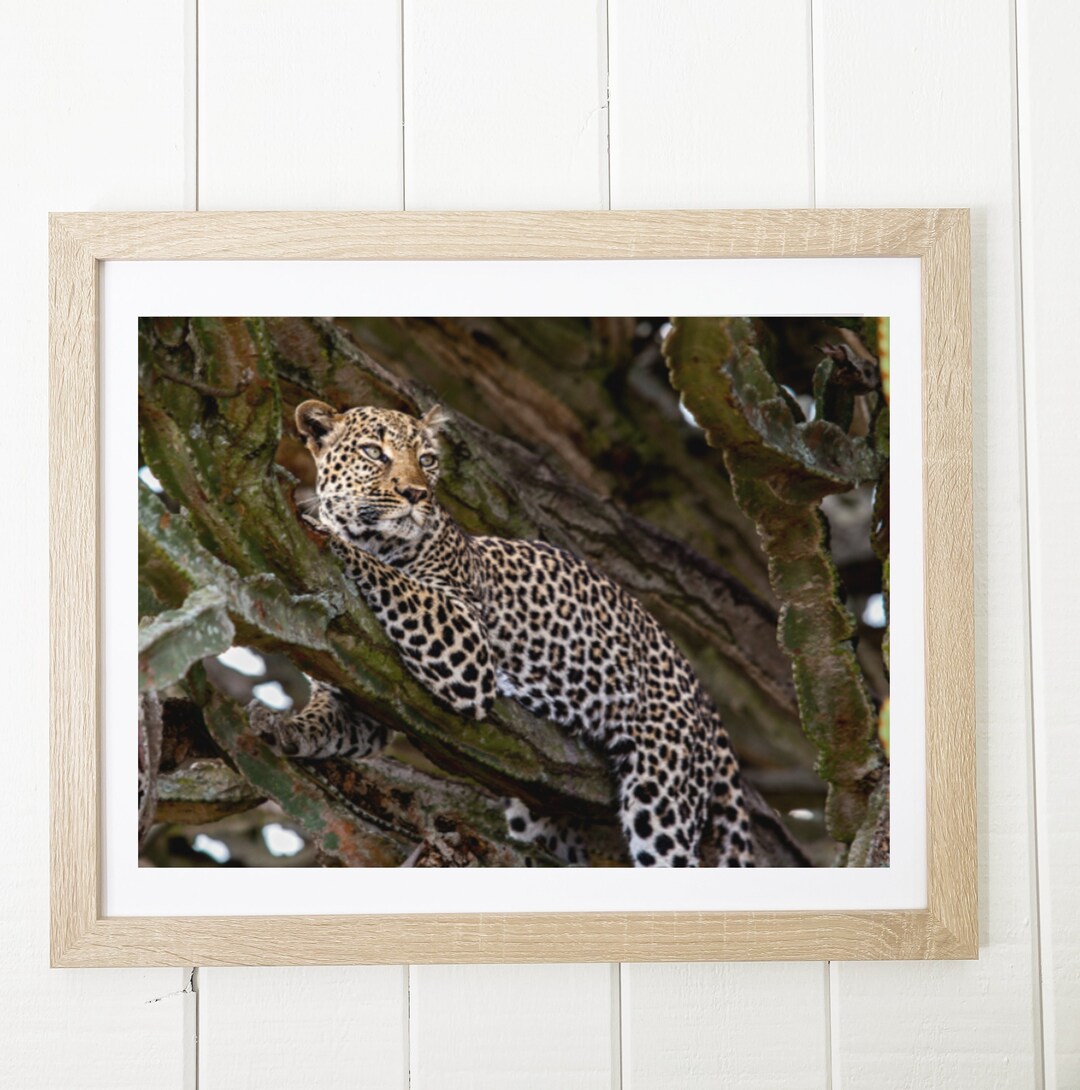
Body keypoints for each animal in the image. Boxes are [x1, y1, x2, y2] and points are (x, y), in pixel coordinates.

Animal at [253, 399, 755, 867]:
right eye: (374, 453)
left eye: (427, 459)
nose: (416, 493)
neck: (371, 536)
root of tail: (700, 693)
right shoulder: (361, 695)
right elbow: (325, 720)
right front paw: (284, 727)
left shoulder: (464, 639)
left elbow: (392, 577)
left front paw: (322, 529)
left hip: (663, 786)